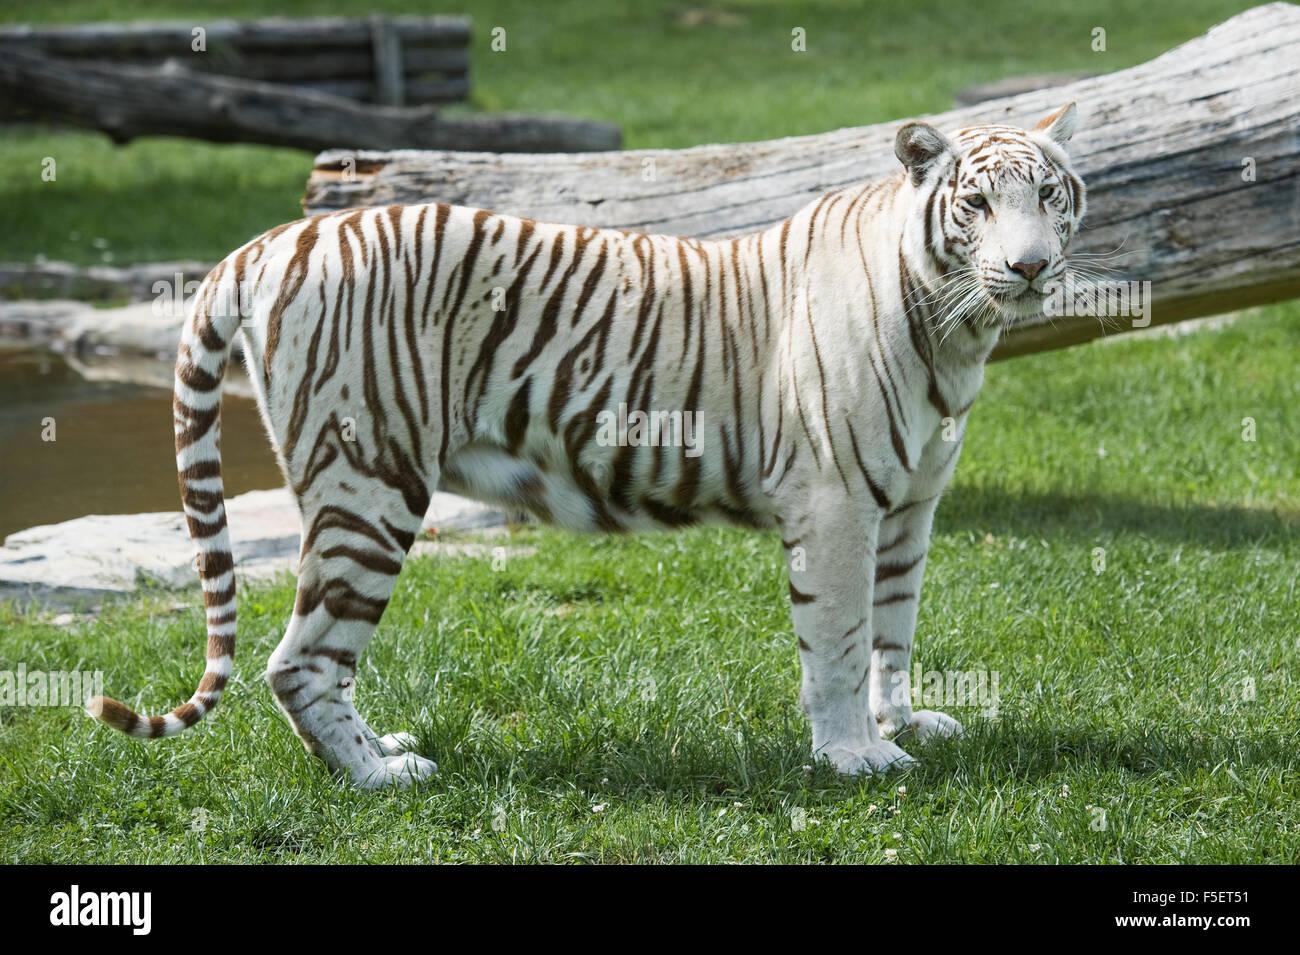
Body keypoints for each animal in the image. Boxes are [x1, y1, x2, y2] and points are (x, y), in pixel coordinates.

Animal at [89, 104, 1085, 788]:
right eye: (977, 204)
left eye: (1048, 194)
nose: (1032, 265)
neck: (958, 334)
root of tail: (274, 238)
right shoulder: (836, 508)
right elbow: (839, 641)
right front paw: (854, 756)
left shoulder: (910, 506)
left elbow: (893, 630)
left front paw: (905, 724)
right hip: (370, 482)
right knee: (300, 657)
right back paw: (380, 776)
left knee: (317, 654)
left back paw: (383, 747)